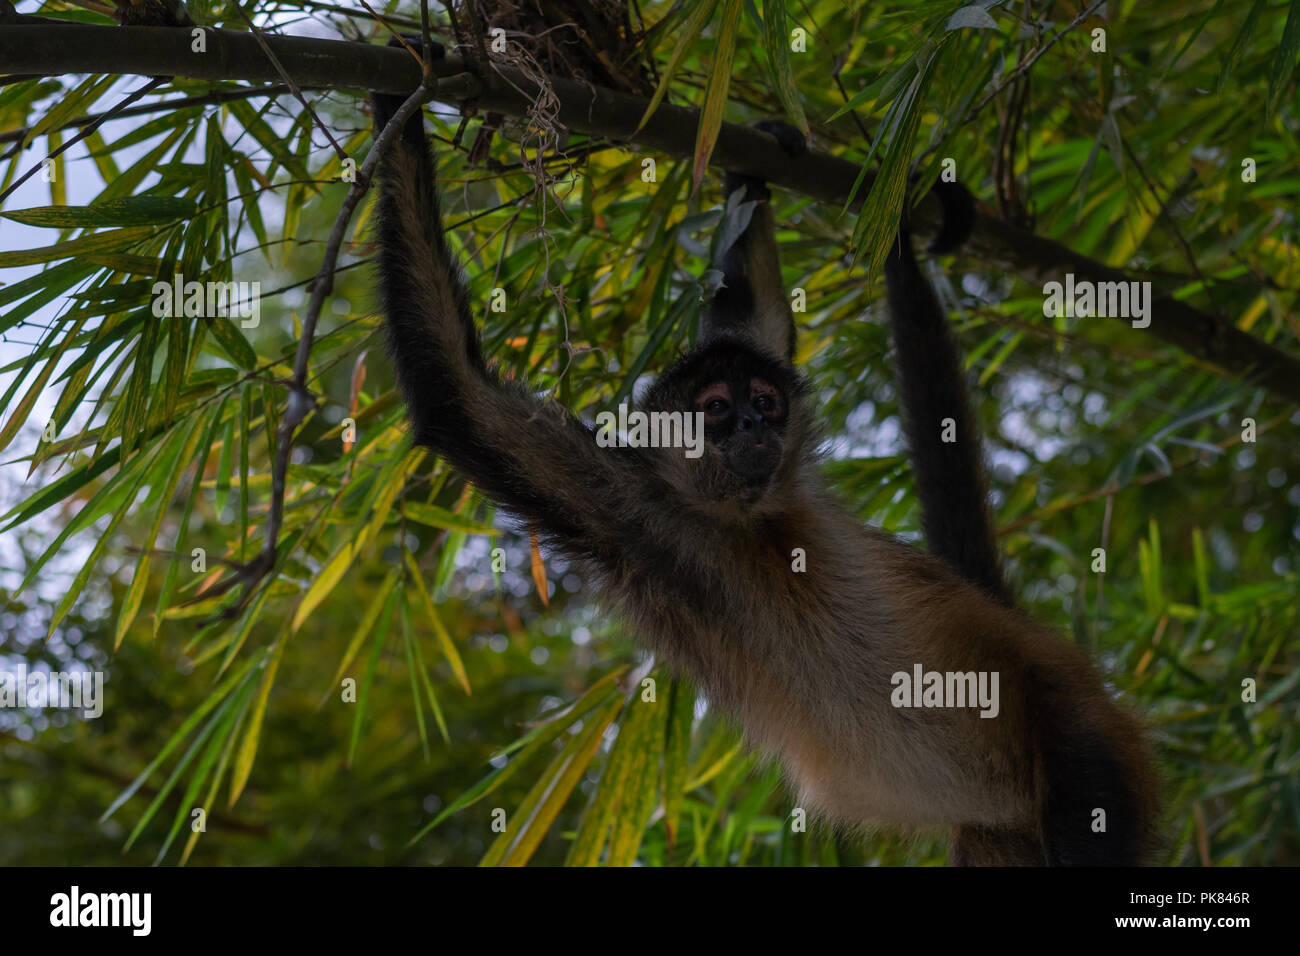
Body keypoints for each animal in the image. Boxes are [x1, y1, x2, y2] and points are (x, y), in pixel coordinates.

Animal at [370, 54, 1157, 865]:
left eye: (765, 402)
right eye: (718, 409)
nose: (752, 423)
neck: (745, 524)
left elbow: (463, 395)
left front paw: (396, 91)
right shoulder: (633, 511)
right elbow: (459, 399)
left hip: (1073, 727)